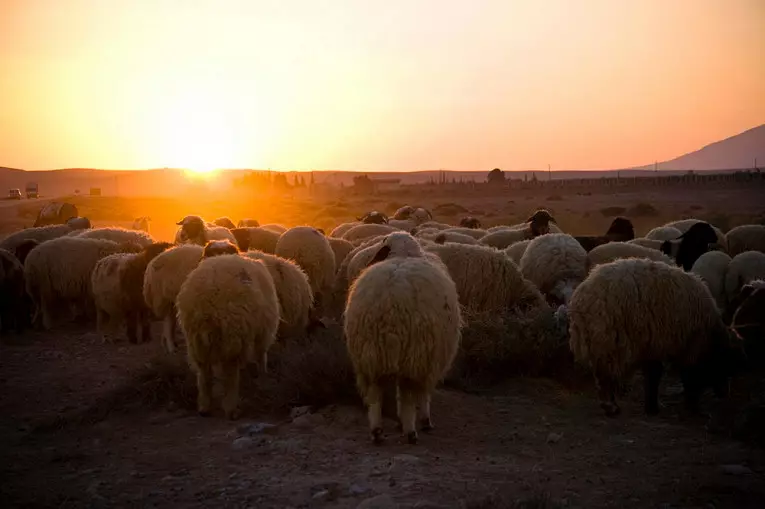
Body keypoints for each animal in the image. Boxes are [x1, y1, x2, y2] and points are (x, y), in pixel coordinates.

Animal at [175, 252, 280, 418]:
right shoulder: (264, 331)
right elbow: (261, 356)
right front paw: (264, 378)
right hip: (233, 335)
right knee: (231, 373)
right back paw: (231, 408)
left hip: (196, 341)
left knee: (204, 373)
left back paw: (204, 406)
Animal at [344, 254, 460, 444]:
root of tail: (390, 301)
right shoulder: (429, 359)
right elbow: (423, 393)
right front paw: (423, 420)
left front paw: (399, 421)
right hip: (415, 351)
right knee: (408, 393)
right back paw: (411, 432)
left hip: (369, 354)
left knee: (375, 393)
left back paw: (377, 431)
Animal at [568, 258, 740, 416]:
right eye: (724, 364)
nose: (724, 393)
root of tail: (581, 299)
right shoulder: (677, 345)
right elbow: (672, 376)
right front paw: (668, 407)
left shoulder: (652, 346)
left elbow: (655, 374)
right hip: (608, 341)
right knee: (605, 375)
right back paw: (610, 406)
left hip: (601, 344)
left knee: (600, 373)